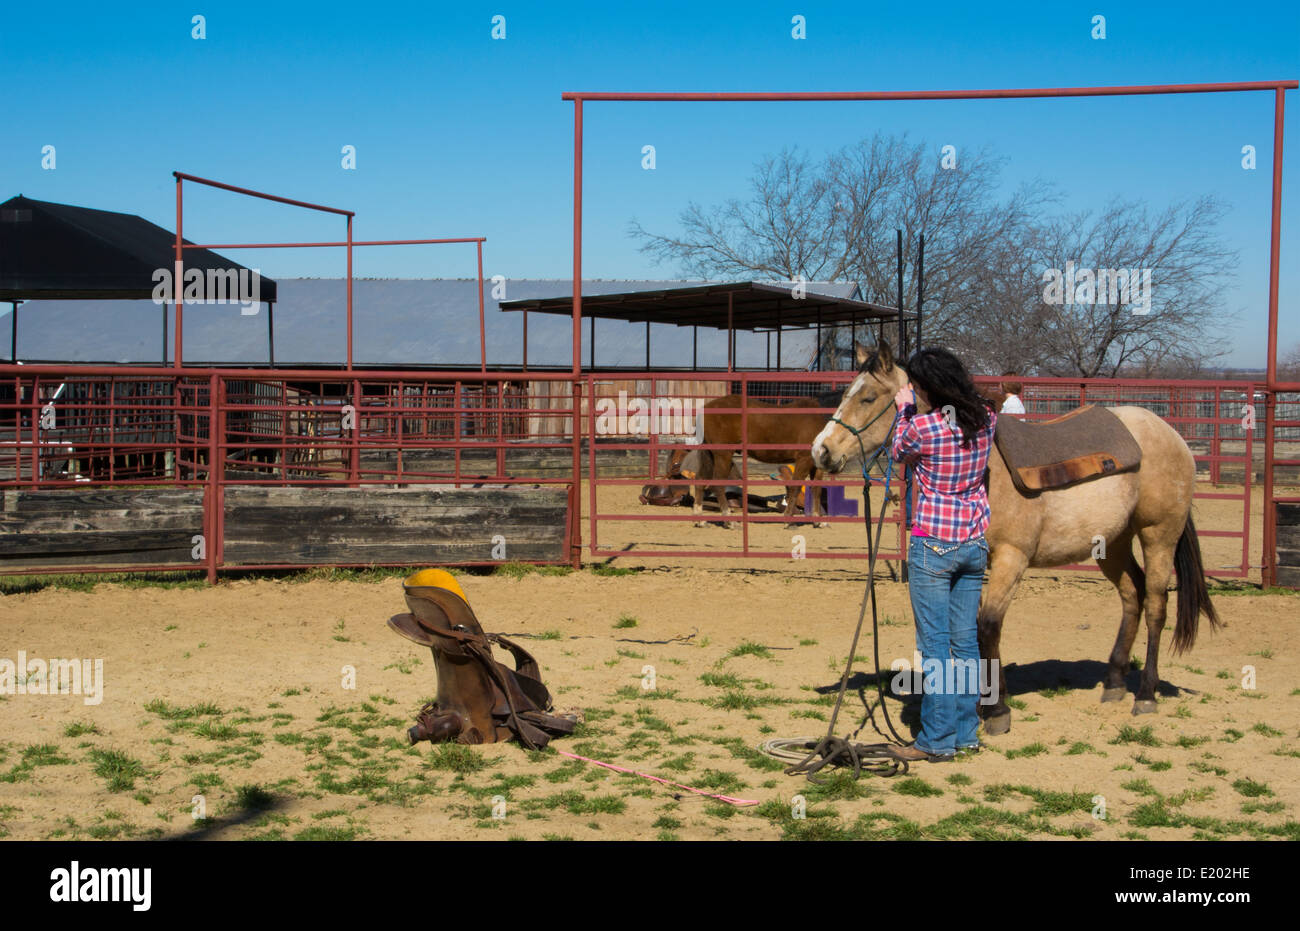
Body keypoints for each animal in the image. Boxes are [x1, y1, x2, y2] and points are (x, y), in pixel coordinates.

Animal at [809, 340, 1220, 735]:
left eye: (868, 397)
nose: (821, 450)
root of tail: (1170, 434)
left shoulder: (1012, 558)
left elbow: (988, 626)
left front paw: (996, 709)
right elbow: (971, 629)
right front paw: (979, 703)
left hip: (1158, 536)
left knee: (1155, 605)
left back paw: (1146, 693)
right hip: (1113, 543)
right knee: (1132, 595)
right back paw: (1115, 683)